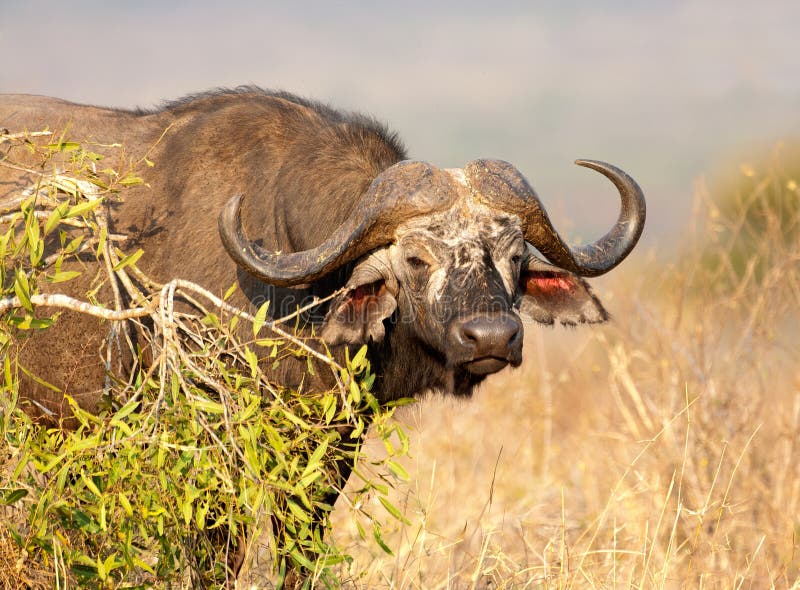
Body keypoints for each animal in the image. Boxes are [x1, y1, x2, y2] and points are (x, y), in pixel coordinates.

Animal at [0, 87, 645, 582]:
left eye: (513, 258)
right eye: (415, 259)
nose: (490, 337)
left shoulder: (329, 450)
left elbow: (300, 550)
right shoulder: (214, 447)